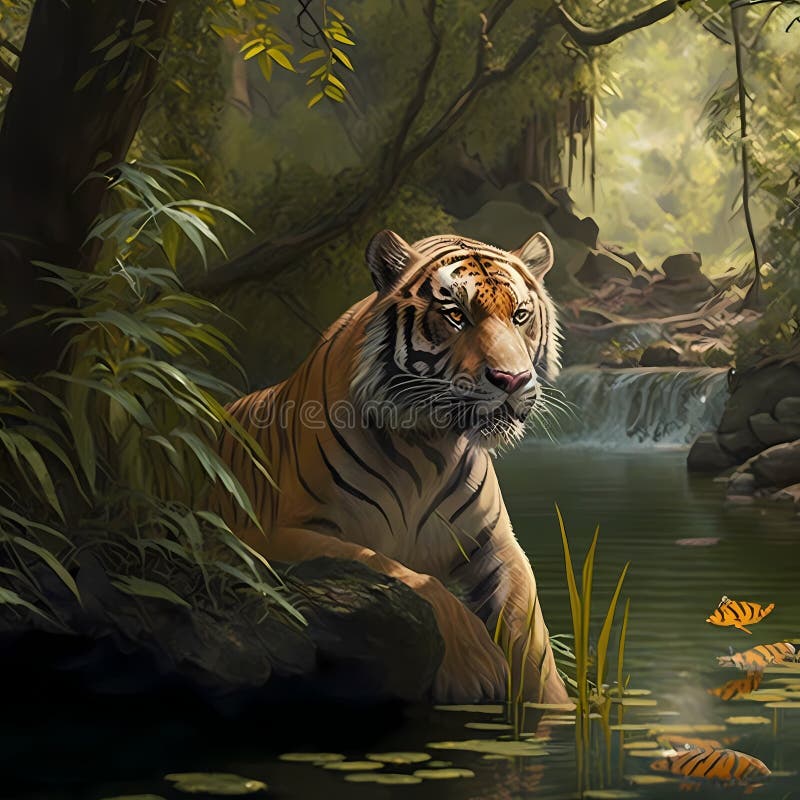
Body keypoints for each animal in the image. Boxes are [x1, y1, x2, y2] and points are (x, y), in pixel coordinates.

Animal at [212, 229, 569, 705]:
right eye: (456, 315)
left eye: (521, 315)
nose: (513, 381)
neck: (428, 446)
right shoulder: (273, 534)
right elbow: (398, 571)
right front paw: (475, 661)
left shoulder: (495, 544)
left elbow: (528, 632)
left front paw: (551, 701)